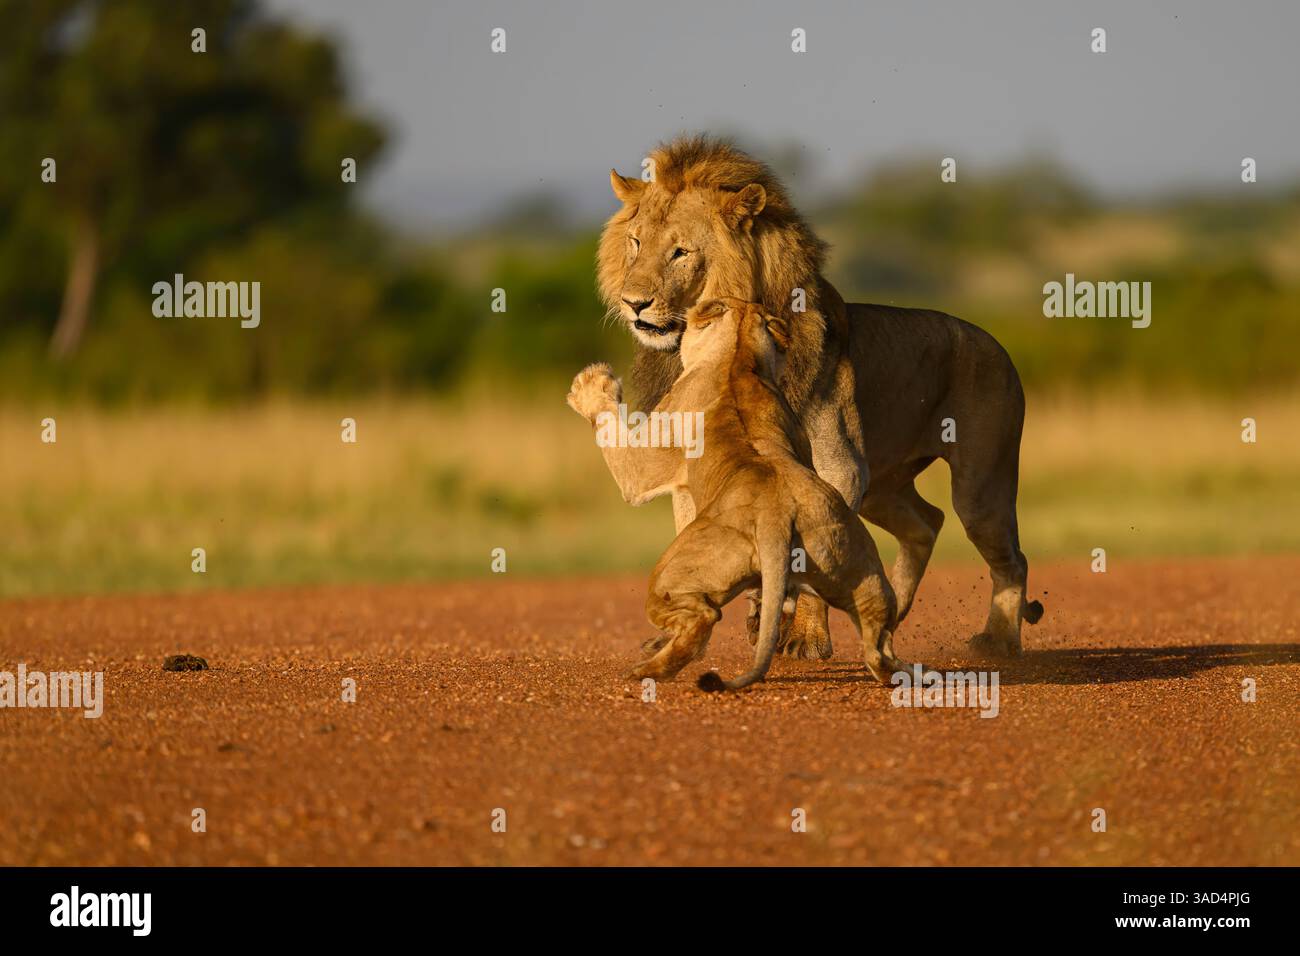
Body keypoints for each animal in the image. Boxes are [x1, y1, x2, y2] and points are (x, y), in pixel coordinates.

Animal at [567, 298, 907, 689]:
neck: (738, 357)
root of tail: (777, 516)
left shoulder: (639, 472)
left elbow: (613, 433)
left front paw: (590, 385)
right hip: (859, 566)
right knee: (877, 638)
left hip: (669, 572)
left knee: (703, 616)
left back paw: (648, 670)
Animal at [595, 135, 1043, 659]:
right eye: (635, 243)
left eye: (680, 252)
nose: (634, 303)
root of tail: (994, 341)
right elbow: (698, 543)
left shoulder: (839, 467)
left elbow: (815, 556)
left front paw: (804, 636)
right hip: (883, 487)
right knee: (927, 522)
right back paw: (892, 616)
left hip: (978, 484)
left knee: (1010, 557)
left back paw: (996, 641)